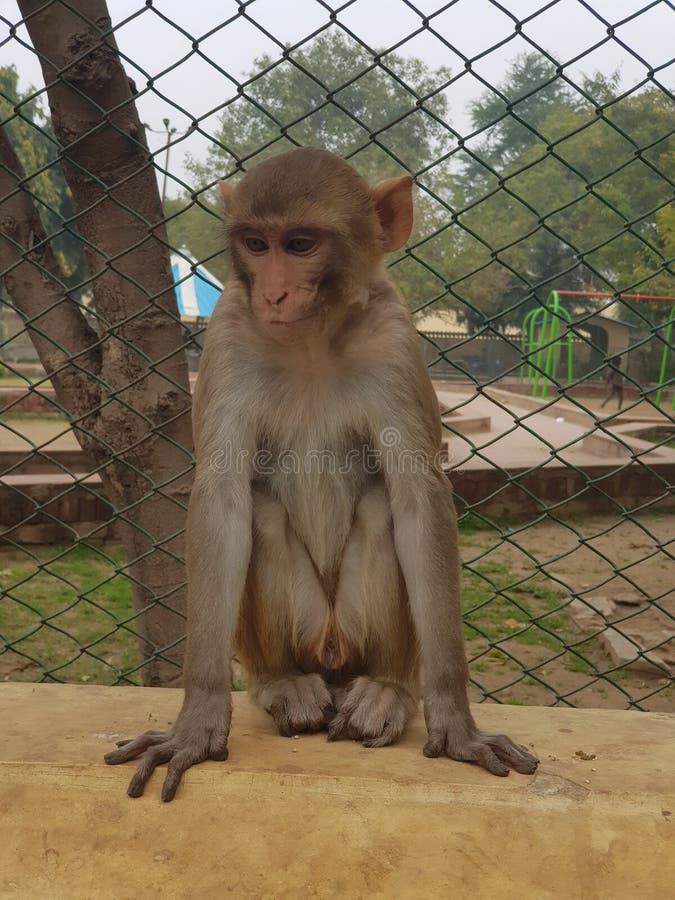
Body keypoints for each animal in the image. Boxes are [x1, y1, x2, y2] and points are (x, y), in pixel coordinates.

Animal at [104, 147, 538, 800]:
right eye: (256, 244)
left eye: (301, 244)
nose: (274, 293)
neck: (311, 339)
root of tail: (330, 656)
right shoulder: (227, 332)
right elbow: (222, 503)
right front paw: (197, 722)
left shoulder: (394, 337)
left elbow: (418, 501)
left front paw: (456, 721)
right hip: (300, 631)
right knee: (259, 512)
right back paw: (283, 684)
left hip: (352, 633)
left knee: (384, 507)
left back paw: (387, 690)